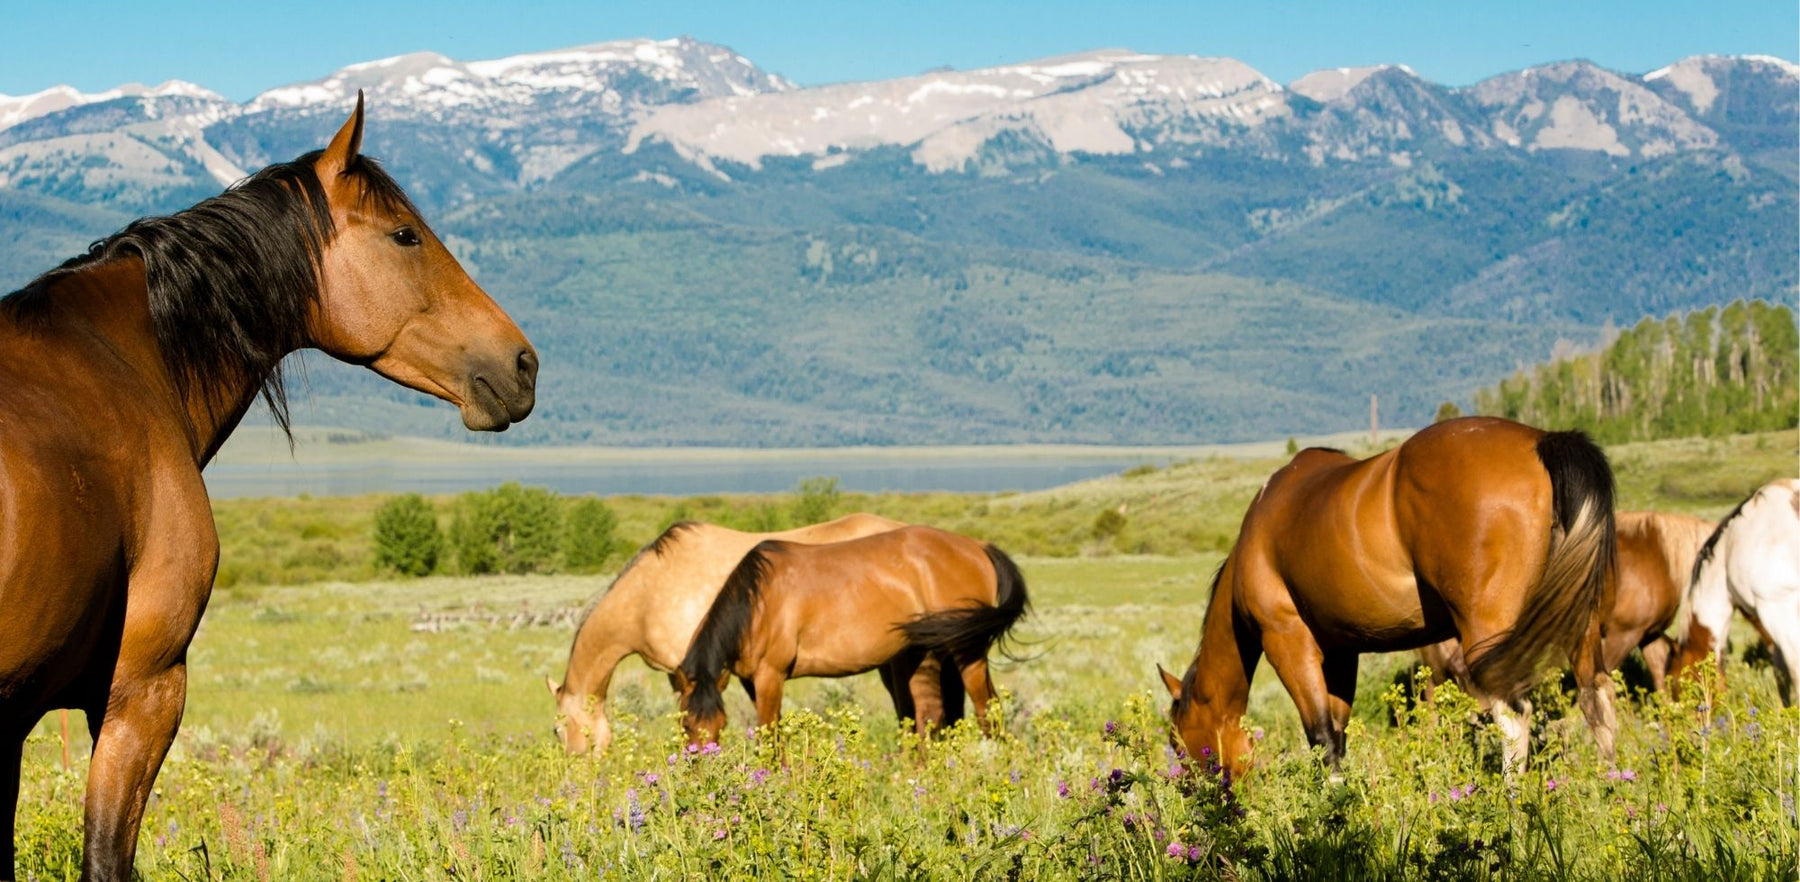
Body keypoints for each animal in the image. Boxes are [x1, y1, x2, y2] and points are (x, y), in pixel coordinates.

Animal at [675, 526, 1029, 746]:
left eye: (719, 724)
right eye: (685, 725)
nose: (700, 766)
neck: (758, 602)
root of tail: (978, 547)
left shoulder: (770, 676)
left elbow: (771, 736)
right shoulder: (754, 682)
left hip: (968, 650)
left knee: (987, 711)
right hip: (922, 653)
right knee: (930, 717)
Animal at [1158, 416, 1618, 776]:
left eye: (1180, 743)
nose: (1198, 795)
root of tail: (1541, 441)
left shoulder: (1286, 641)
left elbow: (1322, 738)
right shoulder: (1341, 653)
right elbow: (1339, 736)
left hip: (1490, 637)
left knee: (1513, 718)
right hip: (1579, 626)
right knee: (1597, 701)